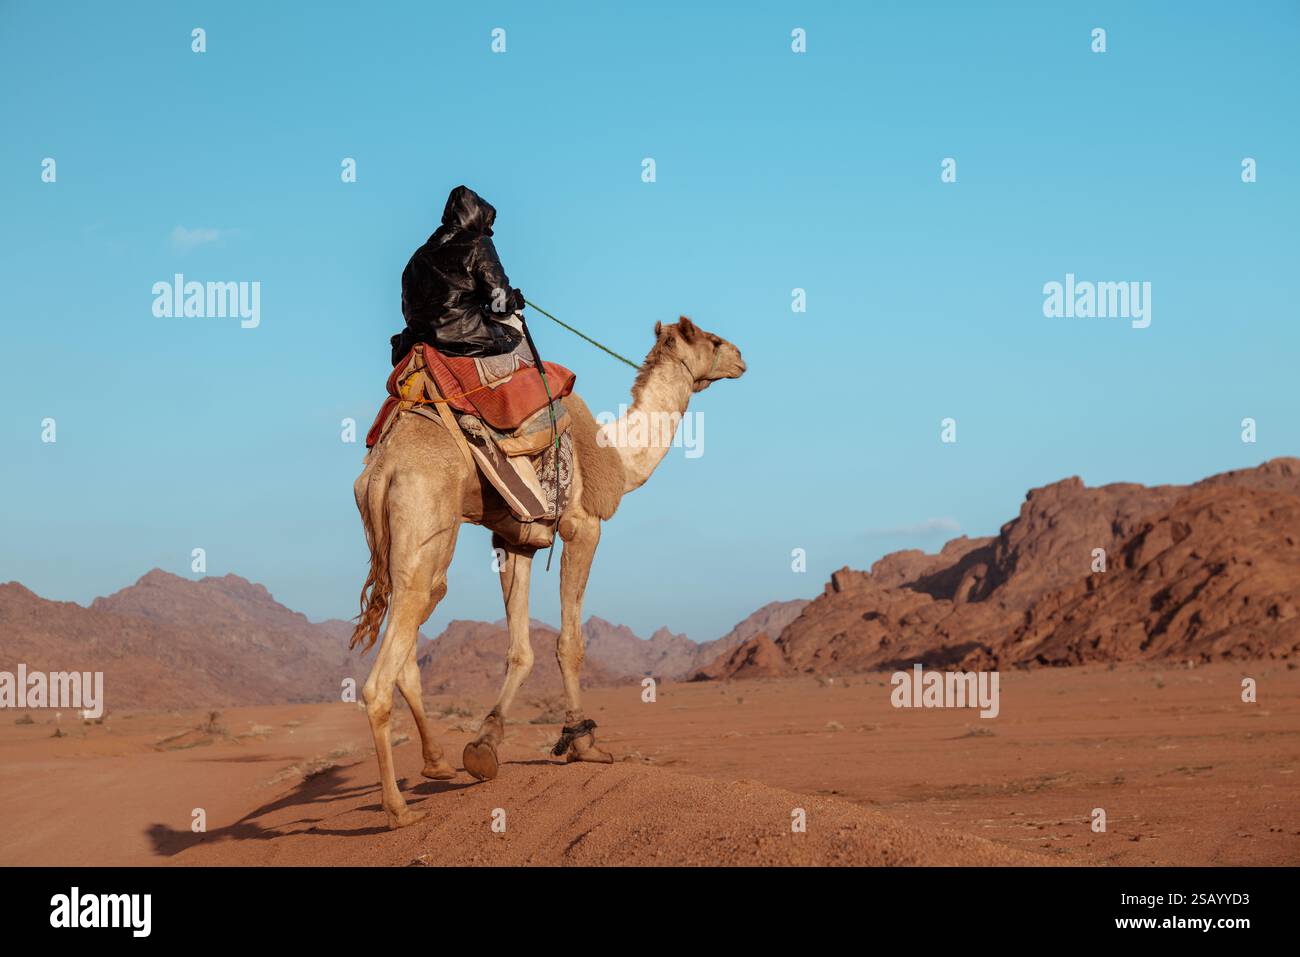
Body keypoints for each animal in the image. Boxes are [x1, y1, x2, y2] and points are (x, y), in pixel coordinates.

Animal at [350, 317, 746, 828]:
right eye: (712, 340)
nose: (741, 357)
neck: (617, 457)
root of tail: (381, 470)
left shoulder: (515, 541)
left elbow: (521, 649)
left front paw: (484, 746)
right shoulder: (583, 527)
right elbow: (569, 644)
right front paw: (583, 743)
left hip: (404, 543)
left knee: (412, 627)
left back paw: (437, 764)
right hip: (427, 517)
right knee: (385, 668)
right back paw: (398, 809)